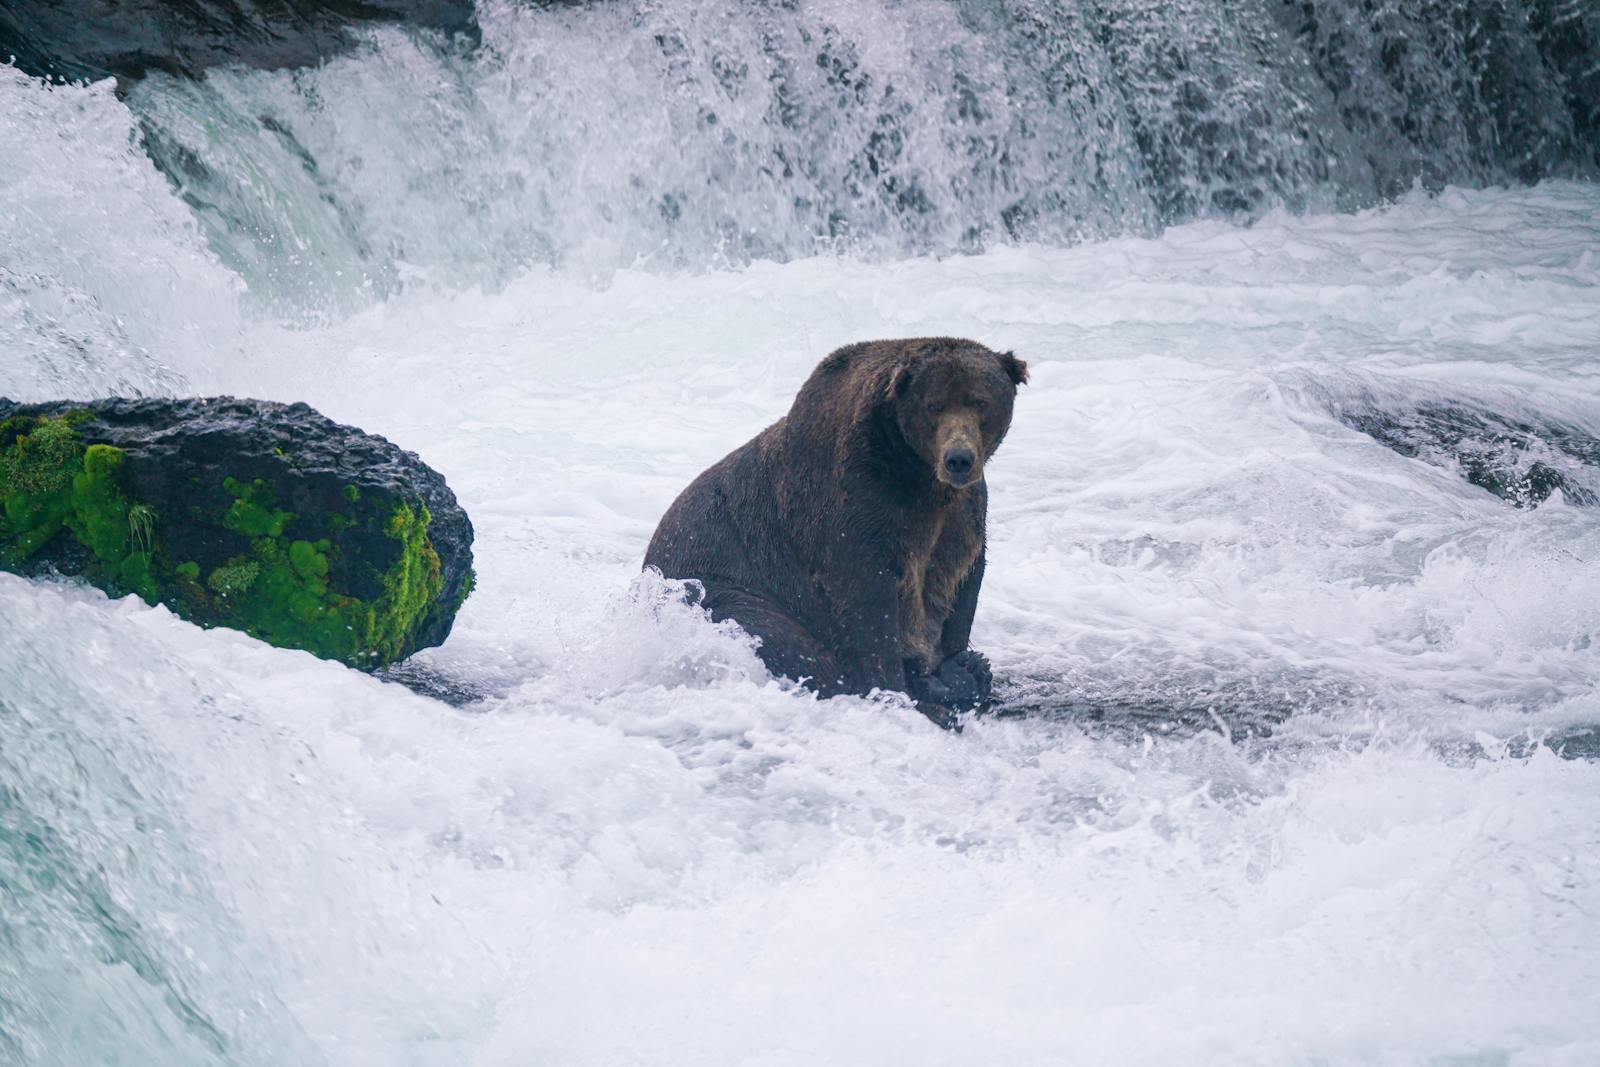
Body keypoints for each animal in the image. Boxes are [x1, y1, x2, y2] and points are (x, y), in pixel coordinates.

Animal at [644, 337, 1027, 727]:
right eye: (934, 405)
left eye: (980, 401)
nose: (958, 458)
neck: (918, 475)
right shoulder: (855, 505)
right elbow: (865, 604)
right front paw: (905, 691)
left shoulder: (961, 517)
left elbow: (961, 581)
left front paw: (955, 666)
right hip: (720, 584)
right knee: (778, 635)